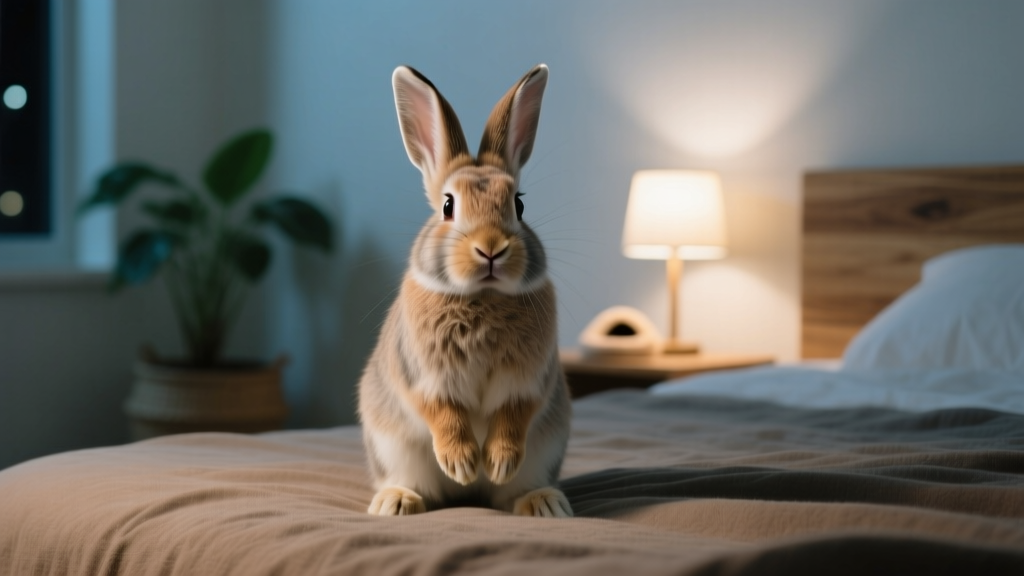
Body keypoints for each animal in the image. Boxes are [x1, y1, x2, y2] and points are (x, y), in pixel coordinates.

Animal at [357, 63, 572, 518]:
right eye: (448, 206)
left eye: (519, 205)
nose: (490, 248)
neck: (481, 298)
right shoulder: (423, 377)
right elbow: (443, 413)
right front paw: (462, 463)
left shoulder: (528, 382)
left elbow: (513, 416)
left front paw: (497, 463)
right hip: (391, 446)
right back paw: (397, 501)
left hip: (546, 449)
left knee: (514, 492)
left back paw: (542, 502)